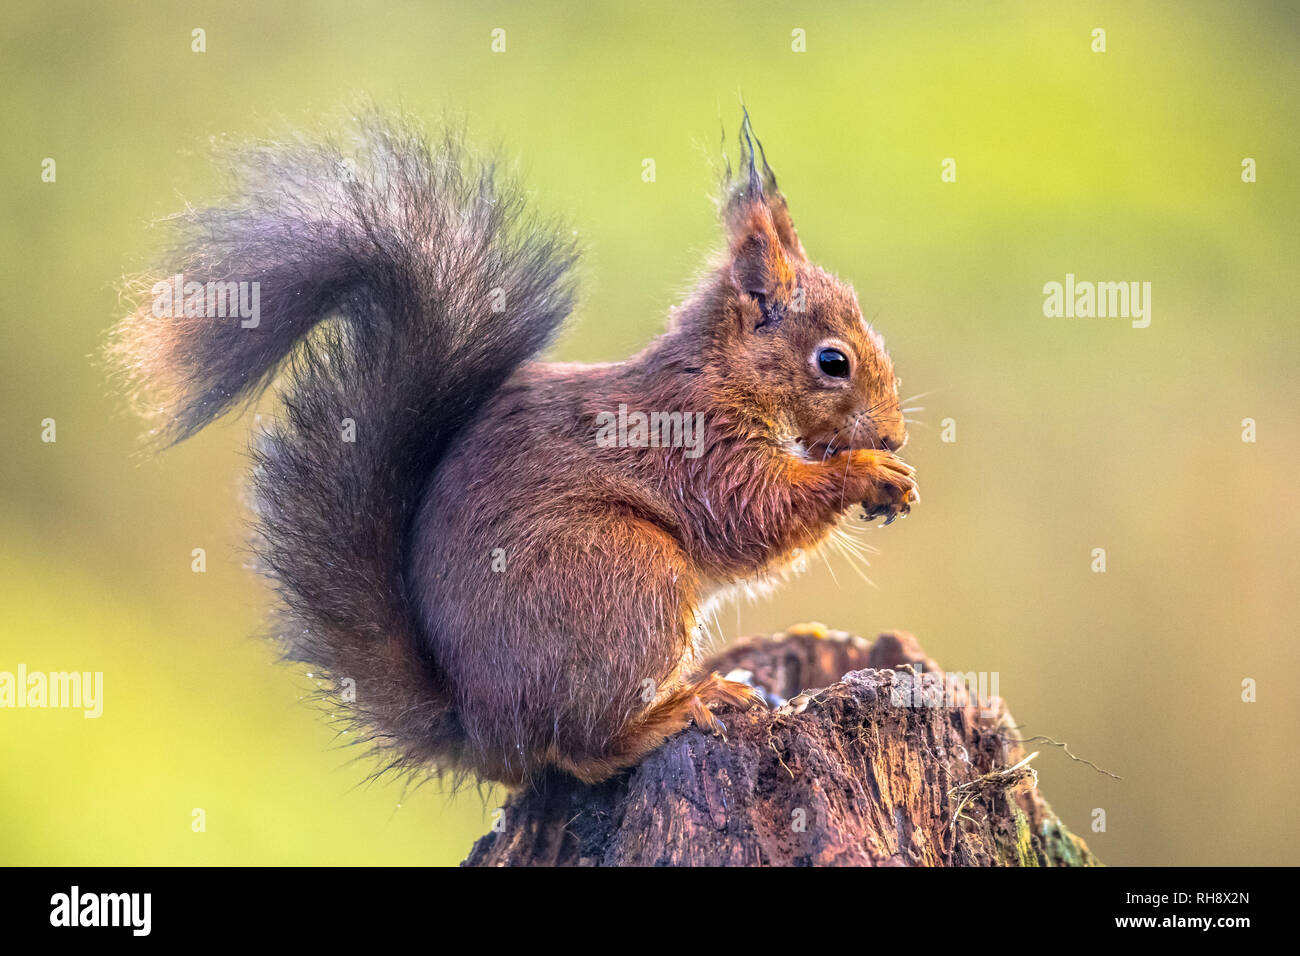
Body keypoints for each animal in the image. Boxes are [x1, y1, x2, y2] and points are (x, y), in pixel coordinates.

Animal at [111, 109, 917, 786]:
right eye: (833, 362)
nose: (894, 434)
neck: (724, 374)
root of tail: (483, 734)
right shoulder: (696, 445)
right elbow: (758, 514)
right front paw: (869, 473)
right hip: (624, 575)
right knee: (584, 750)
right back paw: (680, 708)